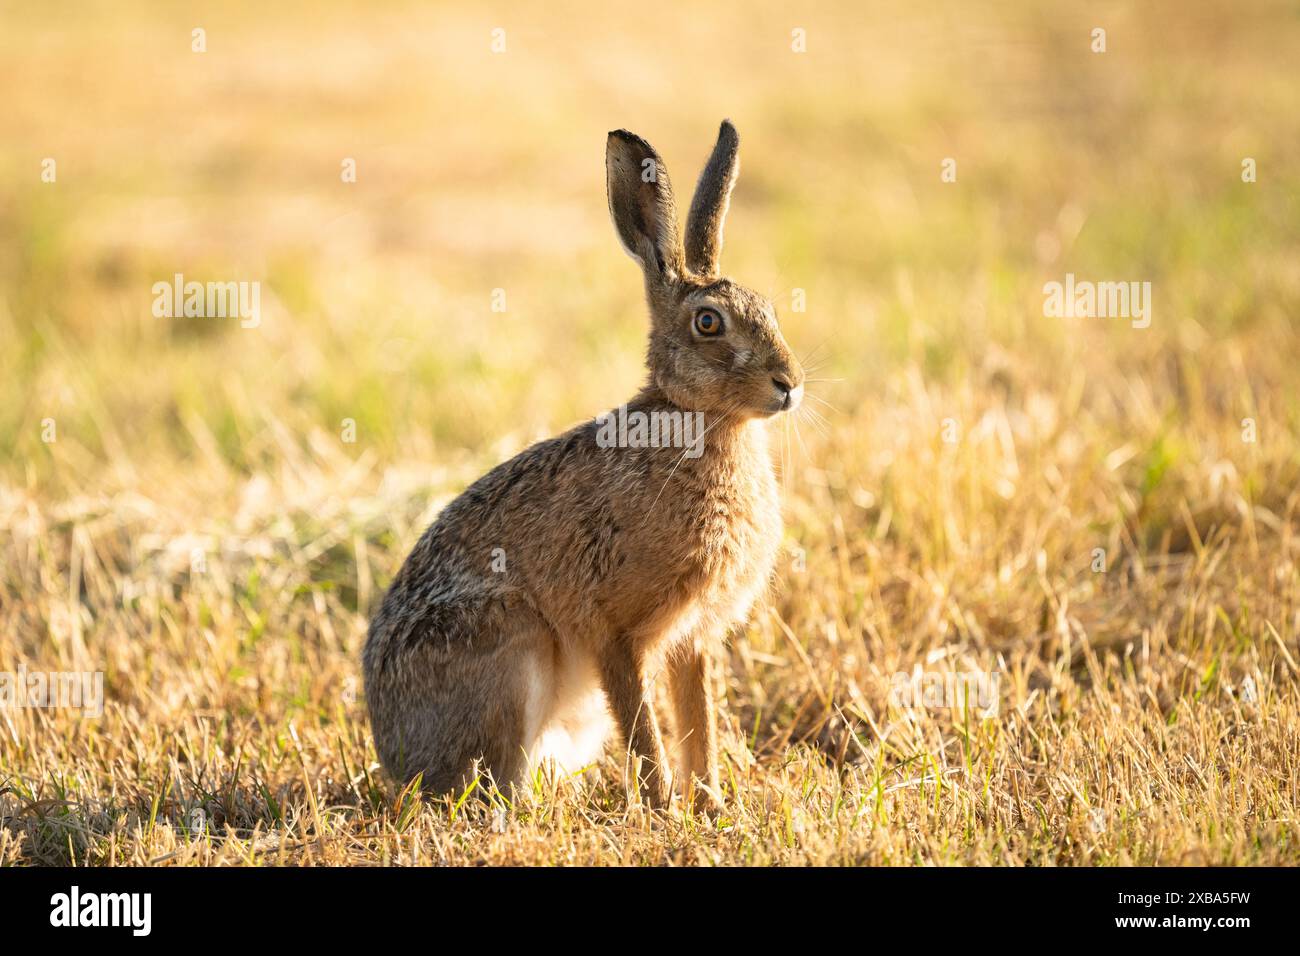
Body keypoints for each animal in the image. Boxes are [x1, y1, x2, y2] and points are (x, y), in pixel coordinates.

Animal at [362, 120, 804, 809]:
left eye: (770, 311)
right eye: (709, 323)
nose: (790, 384)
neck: (699, 419)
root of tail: (395, 756)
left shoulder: (694, 639)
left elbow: (697, 724)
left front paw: (710, 805)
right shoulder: (615, 632)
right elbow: (645, 729)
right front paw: (664, 809)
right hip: (508, 646)